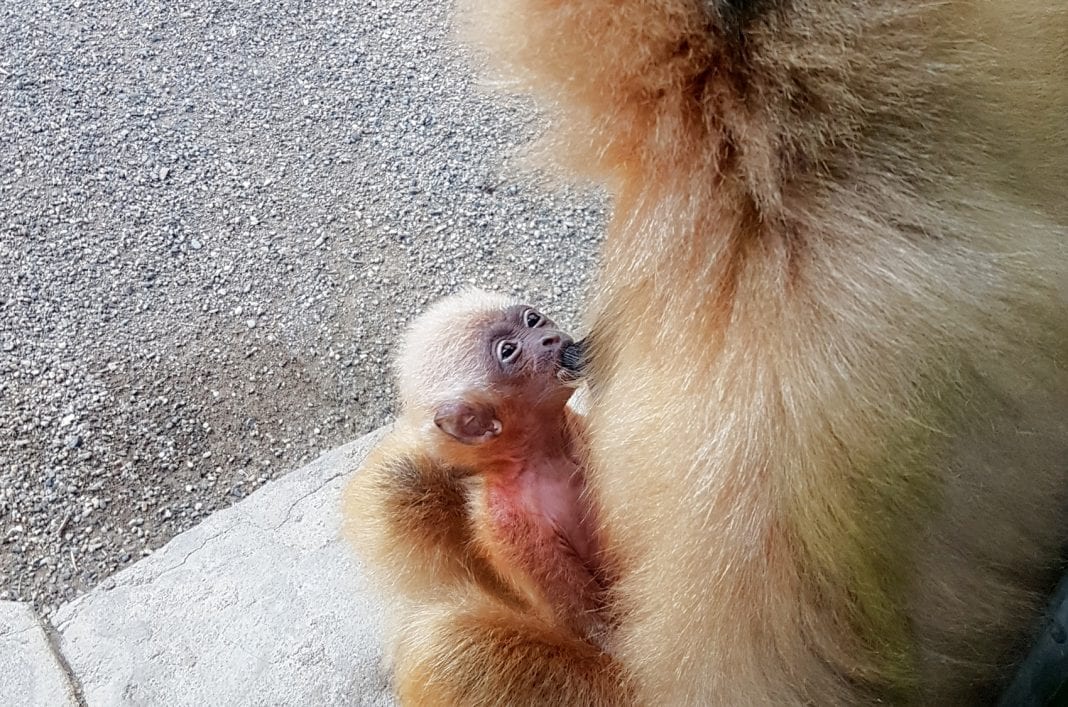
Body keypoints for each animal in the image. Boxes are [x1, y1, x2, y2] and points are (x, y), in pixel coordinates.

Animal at [345, 290, 617, 676]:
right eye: (509, 351)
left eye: (532, 320)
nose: (548, 338)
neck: (546, 459)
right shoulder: (509, 523)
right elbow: (590, 621)